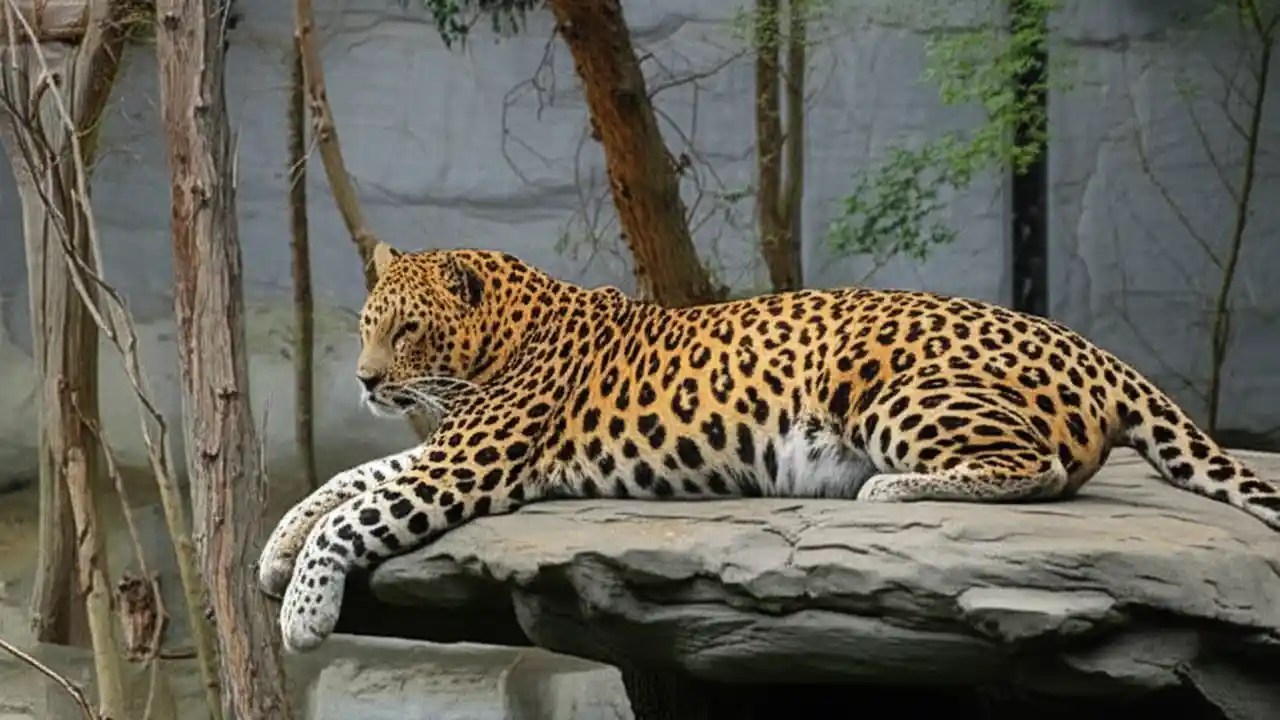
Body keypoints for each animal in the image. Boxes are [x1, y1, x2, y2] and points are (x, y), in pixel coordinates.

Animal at [259, 241, 1280, 653]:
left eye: (407, 331)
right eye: (366, 327)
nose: (364, 381)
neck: (502, 334)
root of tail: (1086, 344)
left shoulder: (469, 459)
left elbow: (359, 511)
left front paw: (303, 615)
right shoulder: (447, 445)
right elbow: (351, 477)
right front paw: (274, 550)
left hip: (890, 387)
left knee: (1040, 469)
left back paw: (889, 491)